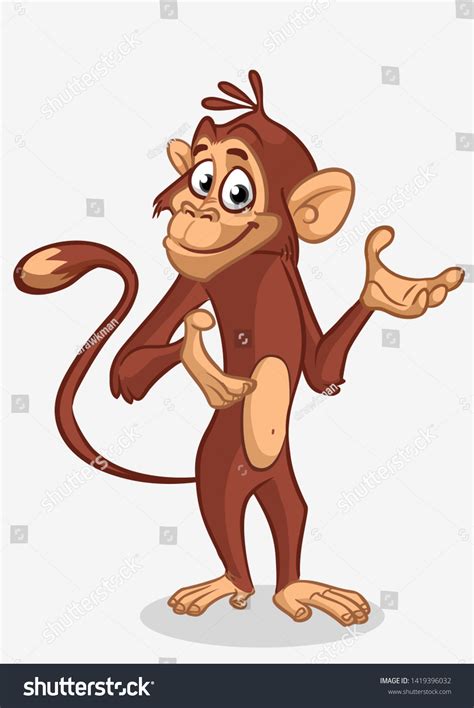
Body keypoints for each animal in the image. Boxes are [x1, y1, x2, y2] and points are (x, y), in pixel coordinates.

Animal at [14, 70, 463, 625]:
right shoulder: (190, 284)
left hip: (279, 478)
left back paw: (295, 590)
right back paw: (232, 583)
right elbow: (129, 365)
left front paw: (388, 288)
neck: (248, 270)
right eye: (201, 179)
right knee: (223, 517)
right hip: (215, 469)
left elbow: (320, 373)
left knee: (292, 512)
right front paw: (204, 362)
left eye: (236, 192)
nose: (193, 210)